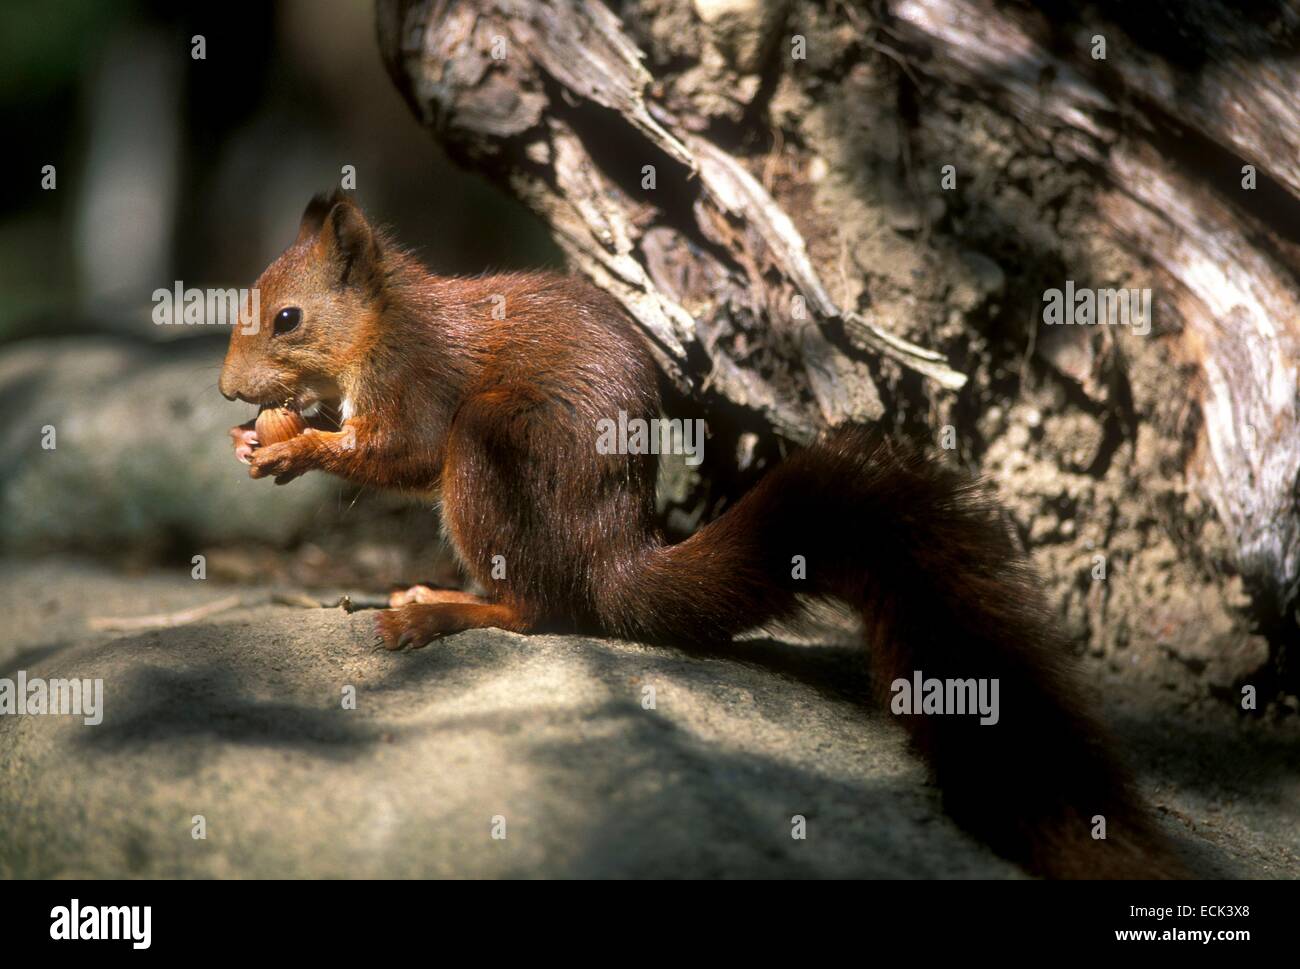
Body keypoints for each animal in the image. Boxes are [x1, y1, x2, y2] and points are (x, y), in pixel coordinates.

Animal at [219, 190, 1184, 879]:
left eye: (288, 318)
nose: (229, 389)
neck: (383, 325)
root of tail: (612, 556)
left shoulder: (420, 382)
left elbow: (400, 452)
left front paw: (297, 445)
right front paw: (261, 437)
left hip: (494, 452)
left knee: (540, 609)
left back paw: (437, 609)